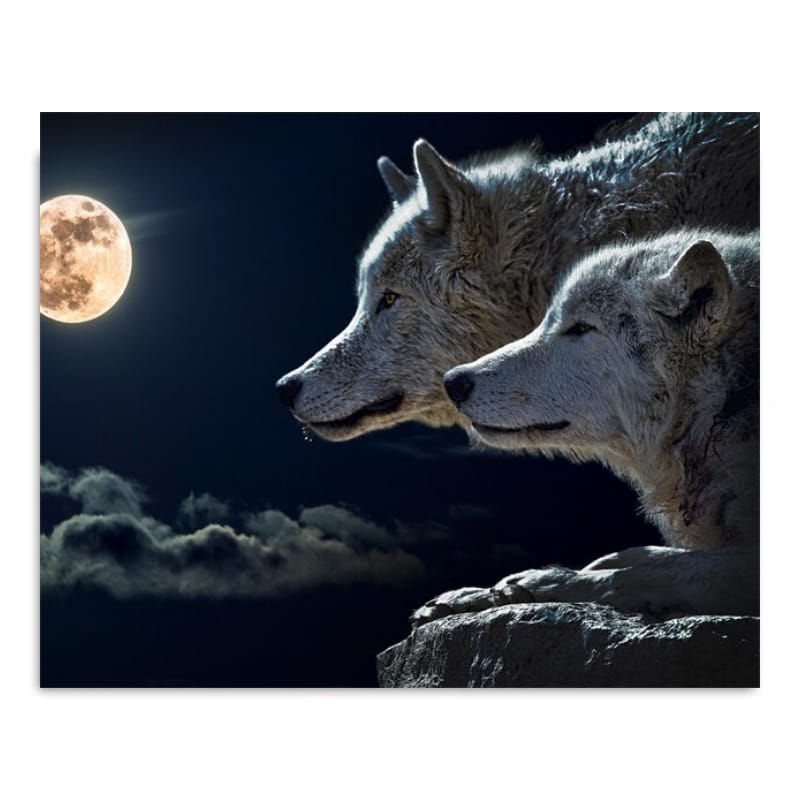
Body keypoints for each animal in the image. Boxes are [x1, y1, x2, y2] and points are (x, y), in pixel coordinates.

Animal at [414, 229, 759, 625]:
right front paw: (477, 594)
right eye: (549, 321)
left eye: (581, 328)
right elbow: (638, 555)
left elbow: (636, 574)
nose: (453, 381)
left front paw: (536, 583)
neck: (723, 403)